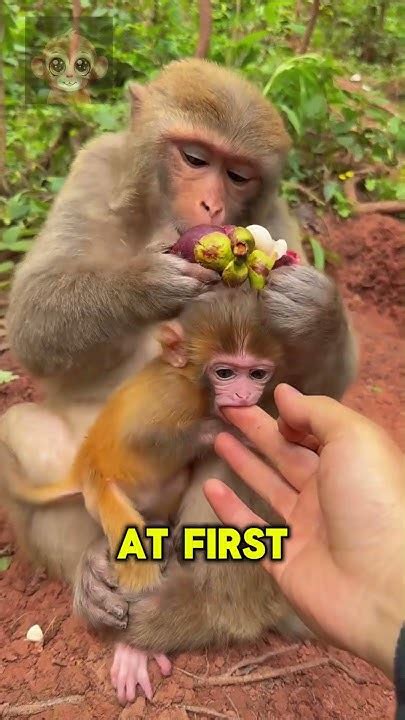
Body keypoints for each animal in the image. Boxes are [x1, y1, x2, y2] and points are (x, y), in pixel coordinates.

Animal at [11, 288, 282, 595]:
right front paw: (225, 429)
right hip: (103, 492)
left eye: (257, 374)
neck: (192, 379)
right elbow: (140, 439)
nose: (243, 395)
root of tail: (82, 467)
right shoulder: (177, 394)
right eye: (225, 373)